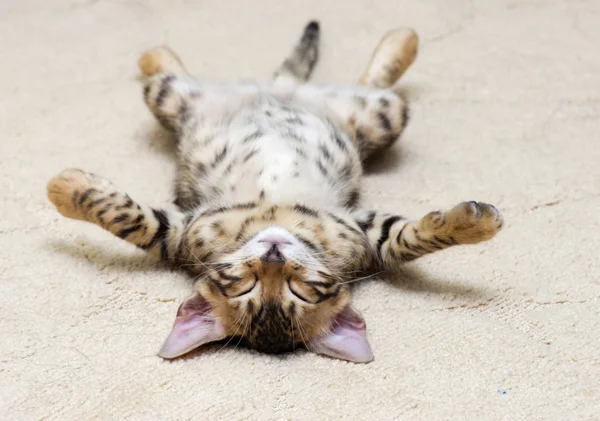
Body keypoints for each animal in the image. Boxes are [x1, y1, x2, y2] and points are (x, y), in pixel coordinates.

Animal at [49, 22, 504, 360]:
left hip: (380, 118)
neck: (275, 220)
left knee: (375, 83)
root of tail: (280, 88)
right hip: (174, 98)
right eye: (245, 286)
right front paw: (63, 188)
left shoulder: (365, 231)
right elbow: (128, 217)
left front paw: (475, 224)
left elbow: (409, 238)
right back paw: (154, 52)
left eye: (299, 289)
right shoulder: (180, 230)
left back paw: (402, 38)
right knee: (171, 78)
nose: (273, 256)